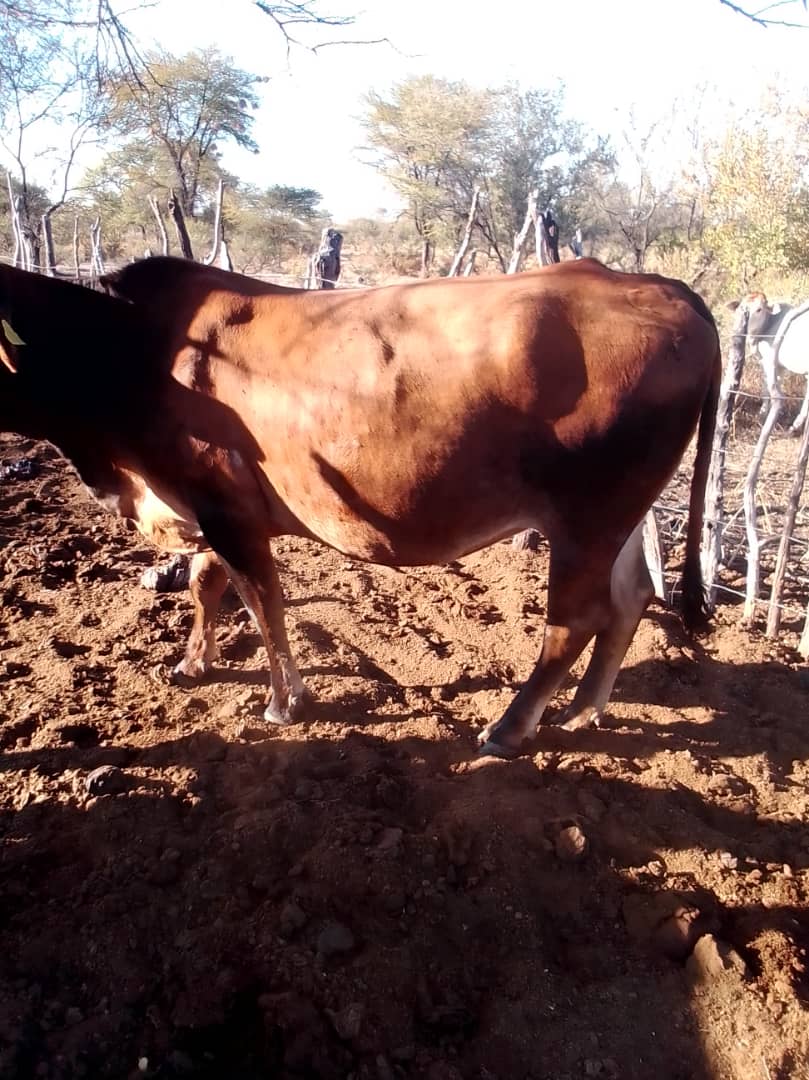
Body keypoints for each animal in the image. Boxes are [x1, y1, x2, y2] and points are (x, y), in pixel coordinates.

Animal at [0, 257, 720, 759]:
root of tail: (661, 287)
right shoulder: (202, 504)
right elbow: (208, 587)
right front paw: (192, 663)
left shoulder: (227, 508)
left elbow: (262, 603)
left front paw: (284, 702)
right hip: (619, 516)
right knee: (629, 599)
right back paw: (583, 711)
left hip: (586, 517)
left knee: (575, 621)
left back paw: (511, 728)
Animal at [728, 291, 809, 435]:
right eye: (742, 308)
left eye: (759, 309)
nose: (744, 327)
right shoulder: (780, 367)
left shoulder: (768, 362)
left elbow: (767, 389)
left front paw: (762, 414)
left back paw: (795, 426)